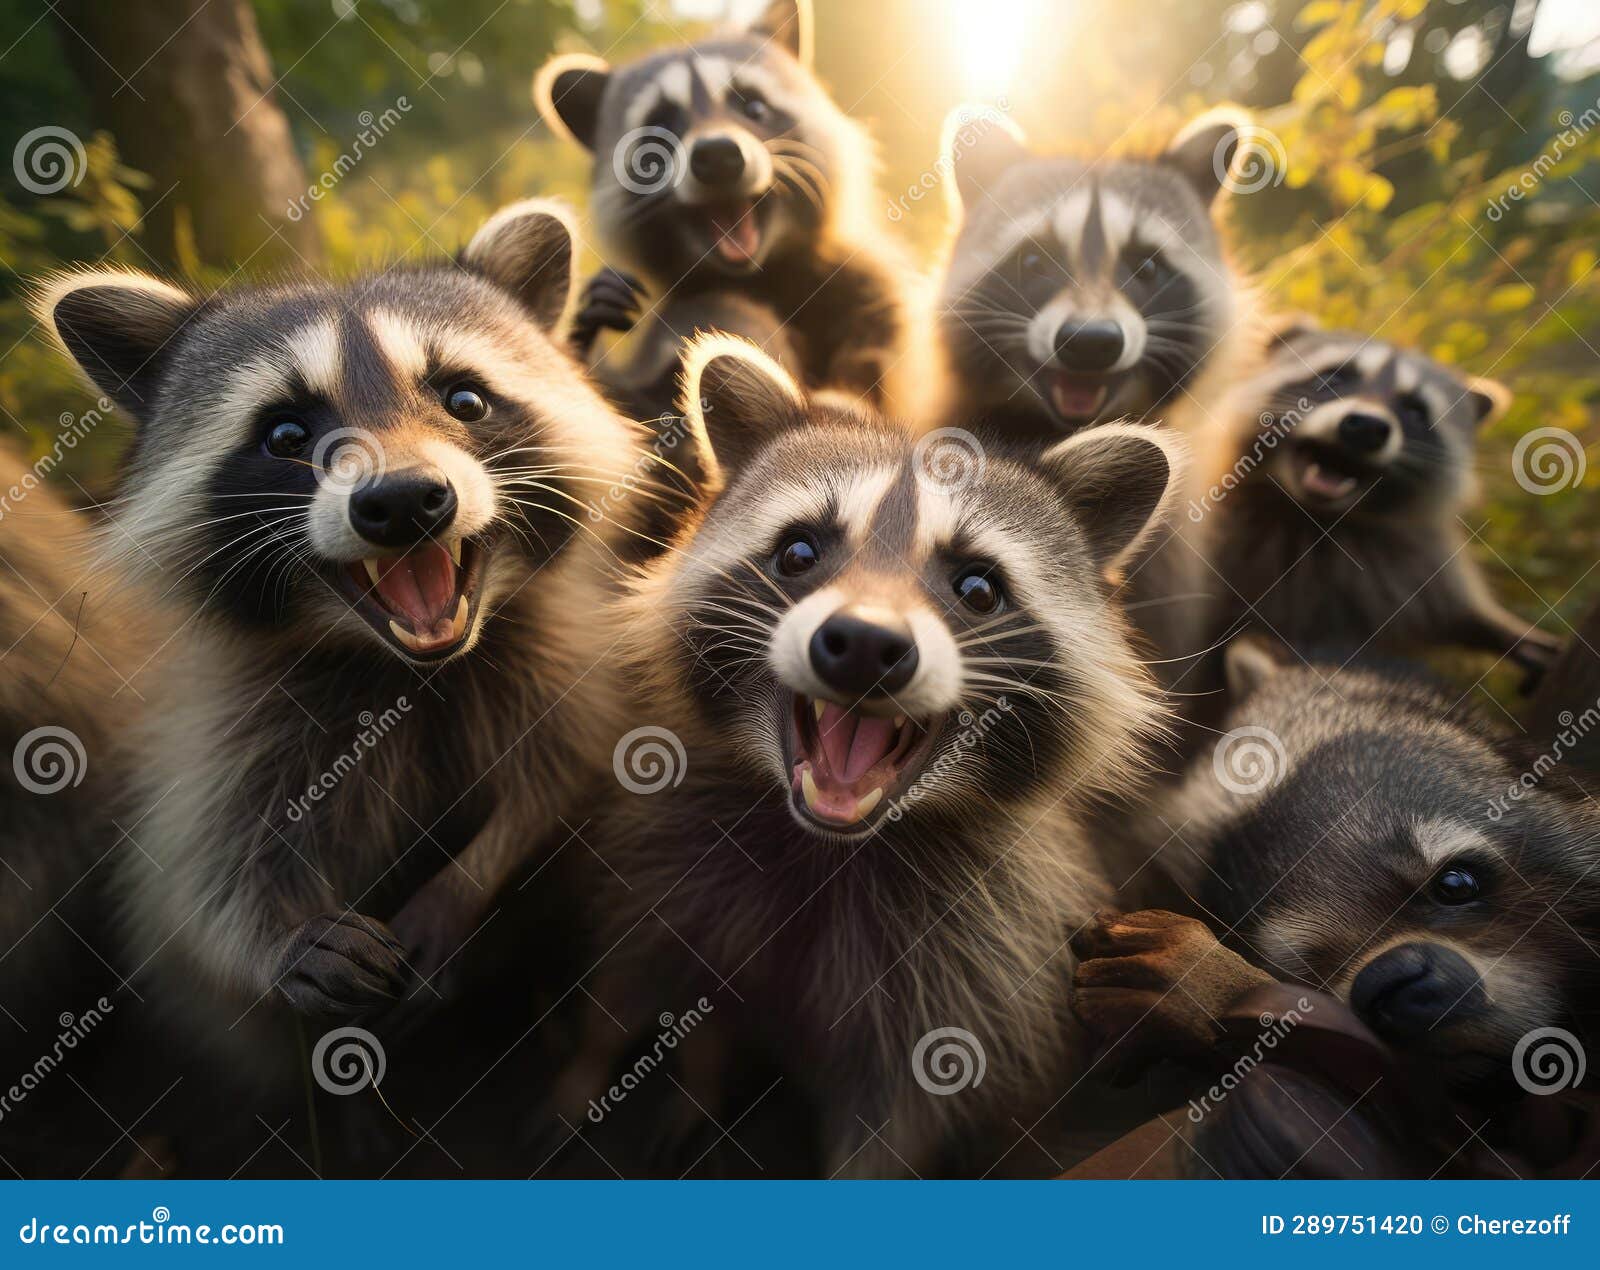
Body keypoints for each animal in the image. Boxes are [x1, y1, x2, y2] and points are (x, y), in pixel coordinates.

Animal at [36, 202, 647, 1095]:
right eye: (287, 433)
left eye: (464, 398)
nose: (403, 503)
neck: (414, 671)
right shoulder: (239, 722)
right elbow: (193, 880)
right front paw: (270, 938)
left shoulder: (560, 661)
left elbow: (562, 778)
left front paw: (477, 872)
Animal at [557, 334, 1184, 1178]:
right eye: (798, 551)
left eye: (977, 588)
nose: (863, 645)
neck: (829, 847)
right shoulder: (666, 858)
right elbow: (627, 974)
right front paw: (583, 1072)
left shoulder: (980, 971)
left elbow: (898, 1126)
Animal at [1134, 323, 1560, 726]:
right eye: (1334, 378)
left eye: (1415, 411)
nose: (1367, 427)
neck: (1314, 518)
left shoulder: (1406, 564)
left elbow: (1446, 610)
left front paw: (1503, 631)